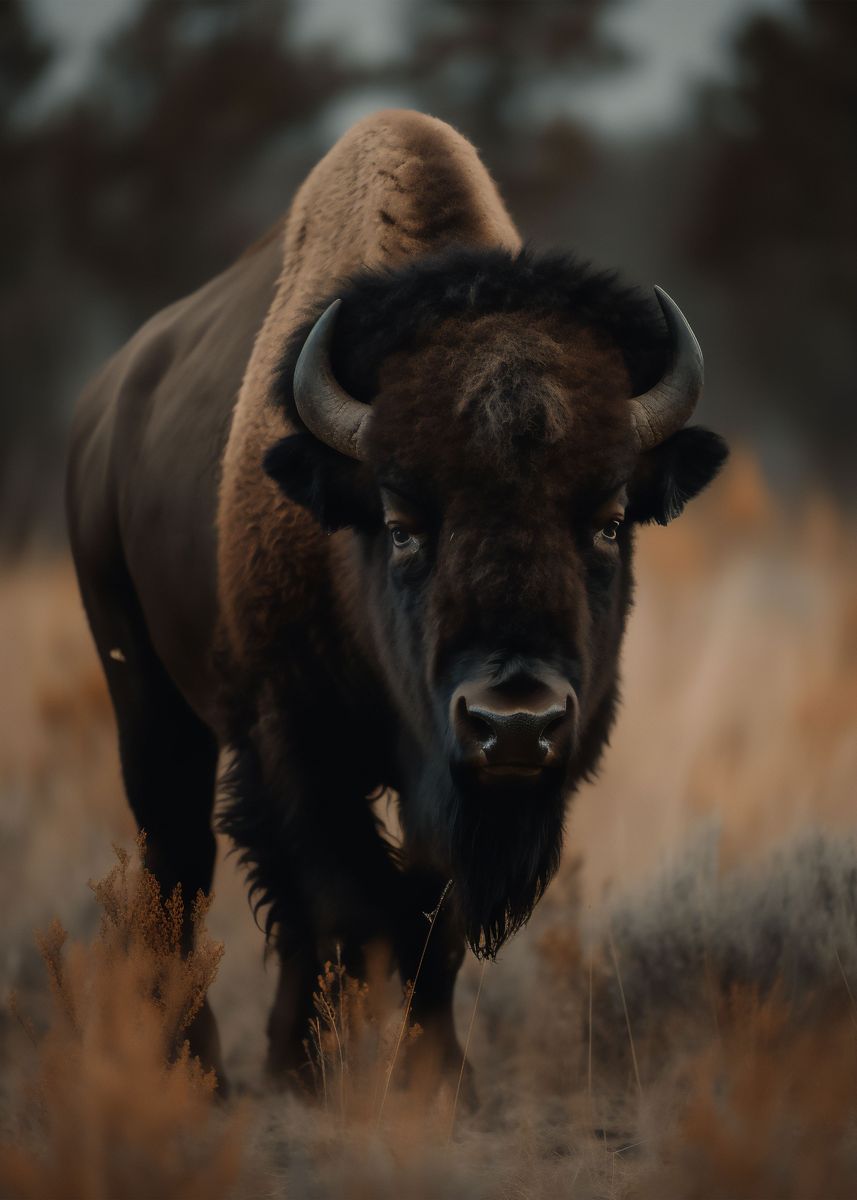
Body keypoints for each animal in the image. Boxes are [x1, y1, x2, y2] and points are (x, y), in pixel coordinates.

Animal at [66, 110, 727, 1092]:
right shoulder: (293, 745)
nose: (515, 723)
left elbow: (426, 928)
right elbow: (353, 912)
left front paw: (432, 1080)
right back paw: (197, 1068)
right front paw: (345, 1078)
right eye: (401, 522)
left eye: (610, 520)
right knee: (174, 863)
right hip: (144, 693)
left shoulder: (446, 789)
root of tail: (100, 412)